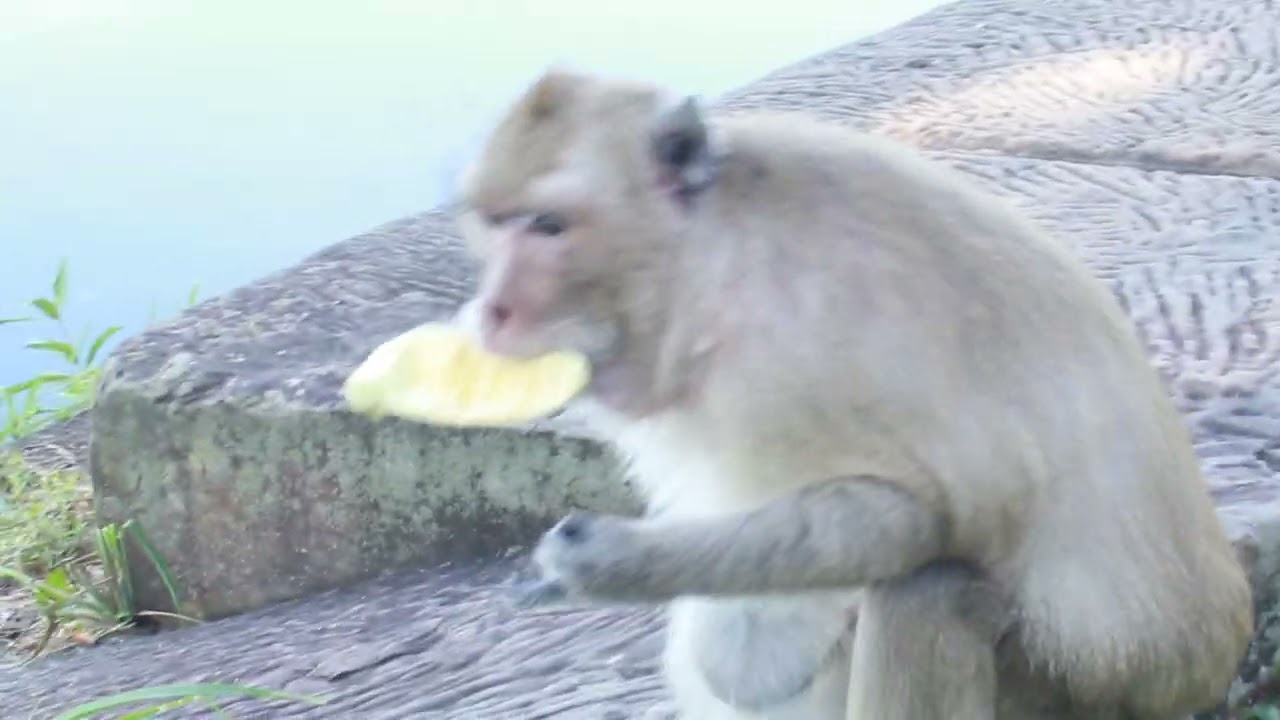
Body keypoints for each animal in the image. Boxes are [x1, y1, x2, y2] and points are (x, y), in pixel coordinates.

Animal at [449, 68, 1255, 719]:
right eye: (494, 226)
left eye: (548, 226)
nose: (492, 310)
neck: (705, 254)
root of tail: (1205, 667)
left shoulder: (784, 362)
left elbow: (902, 520)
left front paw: (607, 564)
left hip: (1068, 693)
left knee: (928, 593)